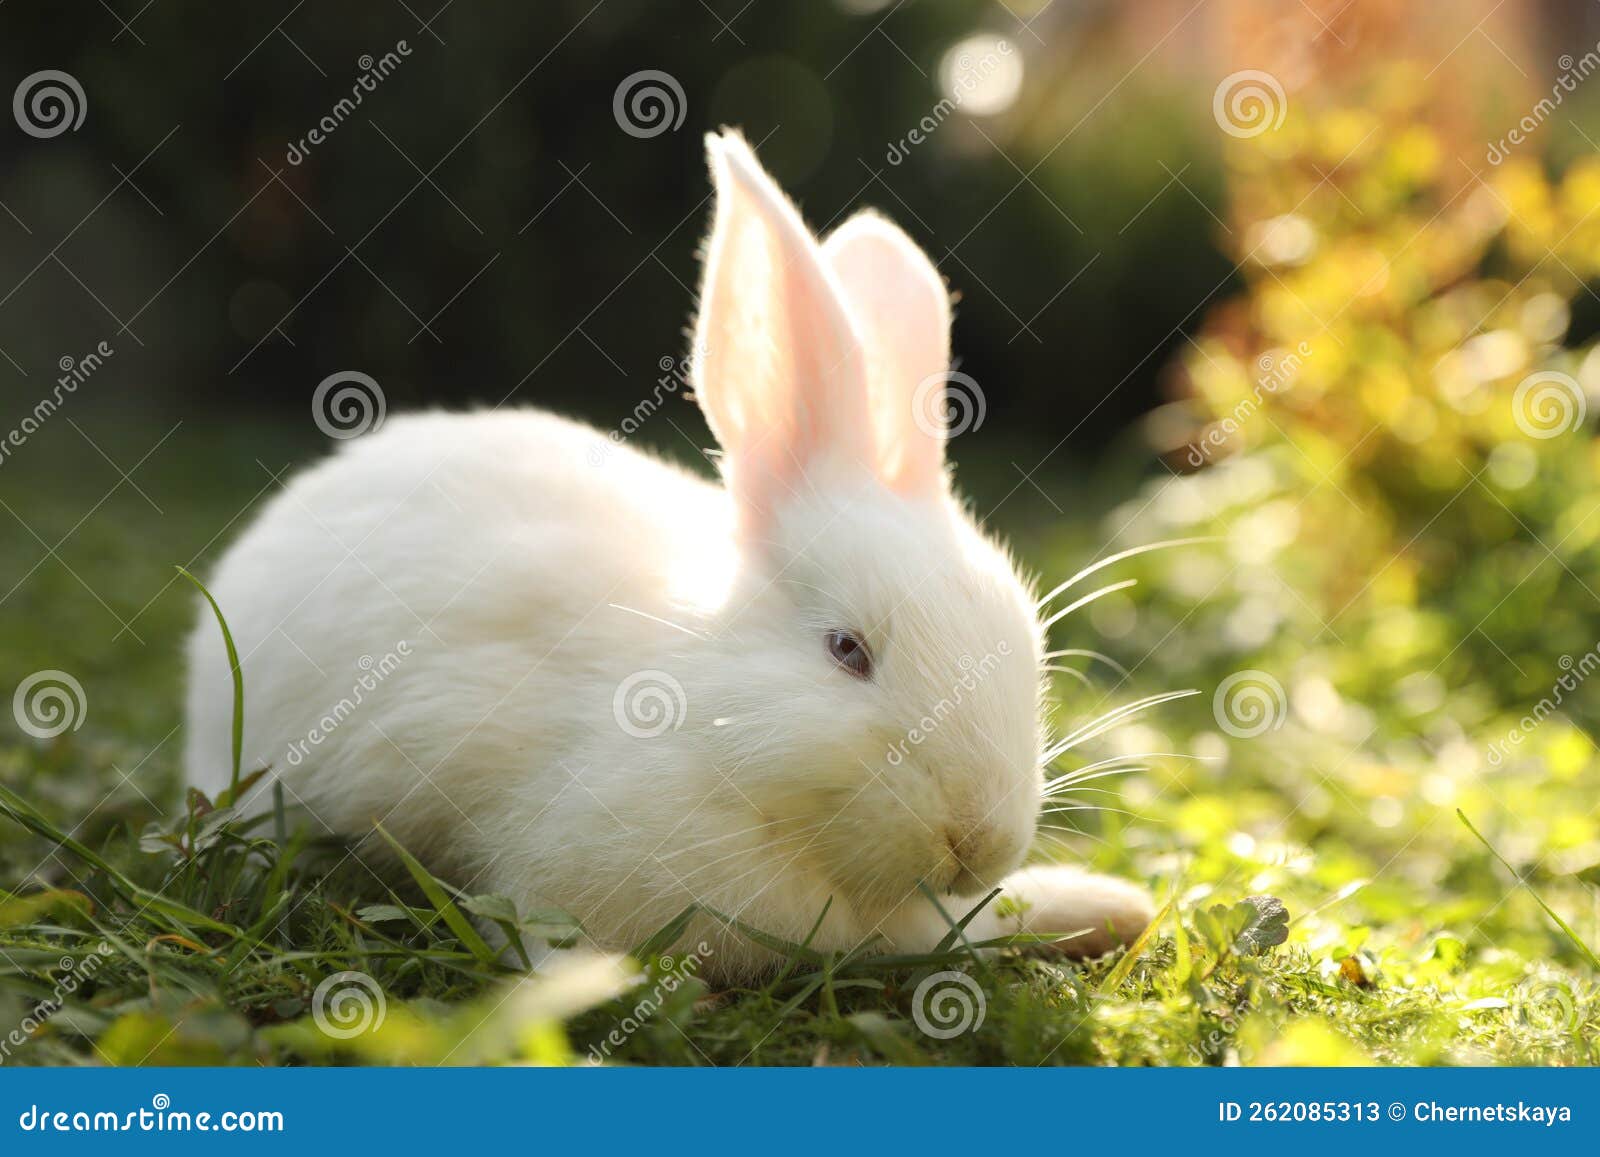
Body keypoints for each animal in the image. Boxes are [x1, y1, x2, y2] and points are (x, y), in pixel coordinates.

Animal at [184, 130, 1154, 981]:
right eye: (847, 650)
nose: (977, 843)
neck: (707, 725)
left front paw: (1107, 906)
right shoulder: (538, 856)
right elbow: (532, 929)